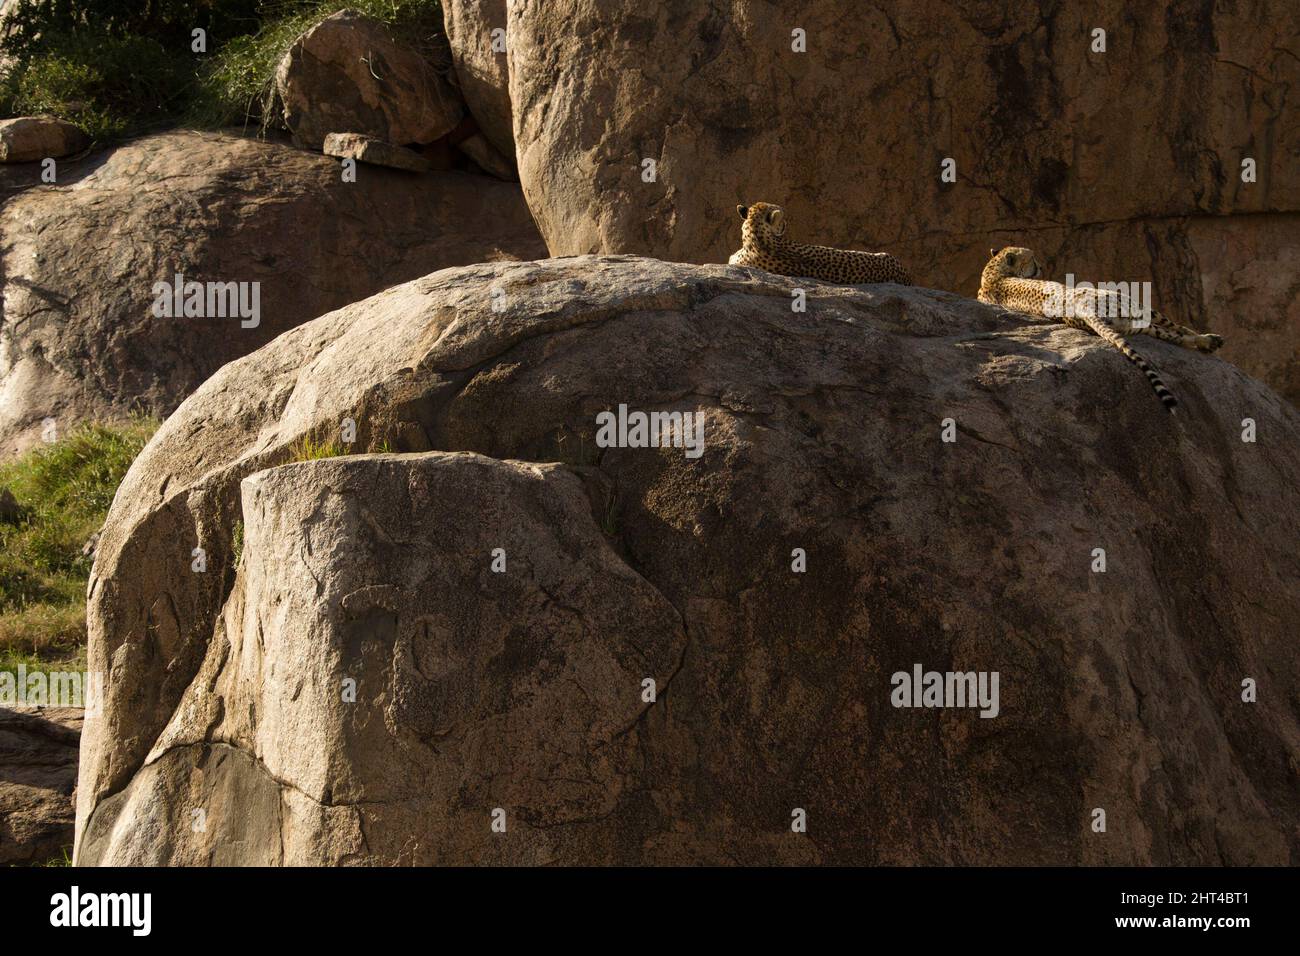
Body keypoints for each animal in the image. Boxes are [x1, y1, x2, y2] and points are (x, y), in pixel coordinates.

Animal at [977, 246, 1224, 412]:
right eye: (1031, 258)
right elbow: (1180, 326)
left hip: (1131, 323)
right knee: (1175, 330)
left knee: (1170, 335)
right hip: (1133, 305)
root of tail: (1084, 309)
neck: (994, 271)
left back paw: (1208, 342)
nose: (1041, 266)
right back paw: (1209, 340)